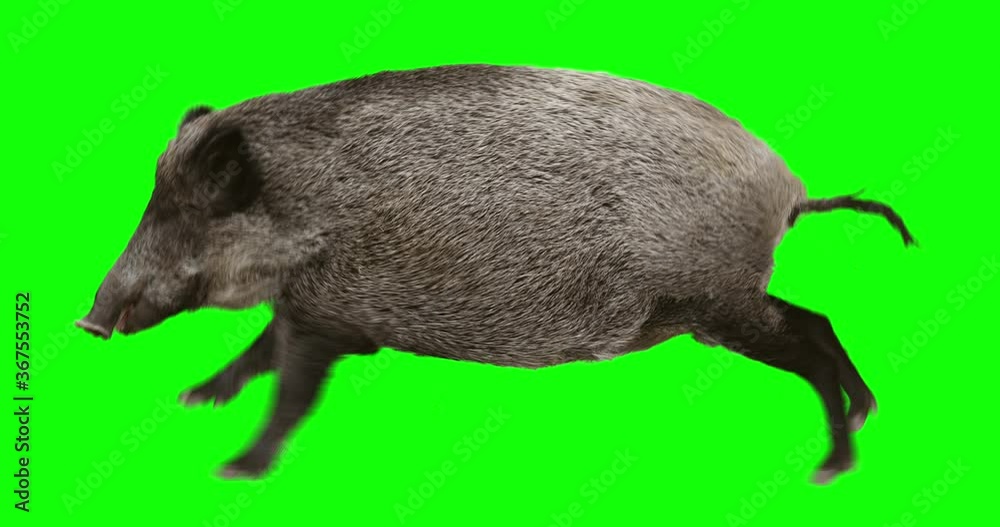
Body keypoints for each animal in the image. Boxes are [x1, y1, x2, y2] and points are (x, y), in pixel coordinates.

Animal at [76, 64, 914, 483]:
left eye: (187, 211)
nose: (88, 319)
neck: (301, 213)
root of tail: (792, 190)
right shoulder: (309, 307)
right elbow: (256, 354)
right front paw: (195, 398)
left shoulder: (328, 314)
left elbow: (290, 392)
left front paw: (237, 470)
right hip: (726, 304)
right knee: (817, 319)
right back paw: (863, 419)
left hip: (720, 305)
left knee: (809, 340)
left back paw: (832, 466)